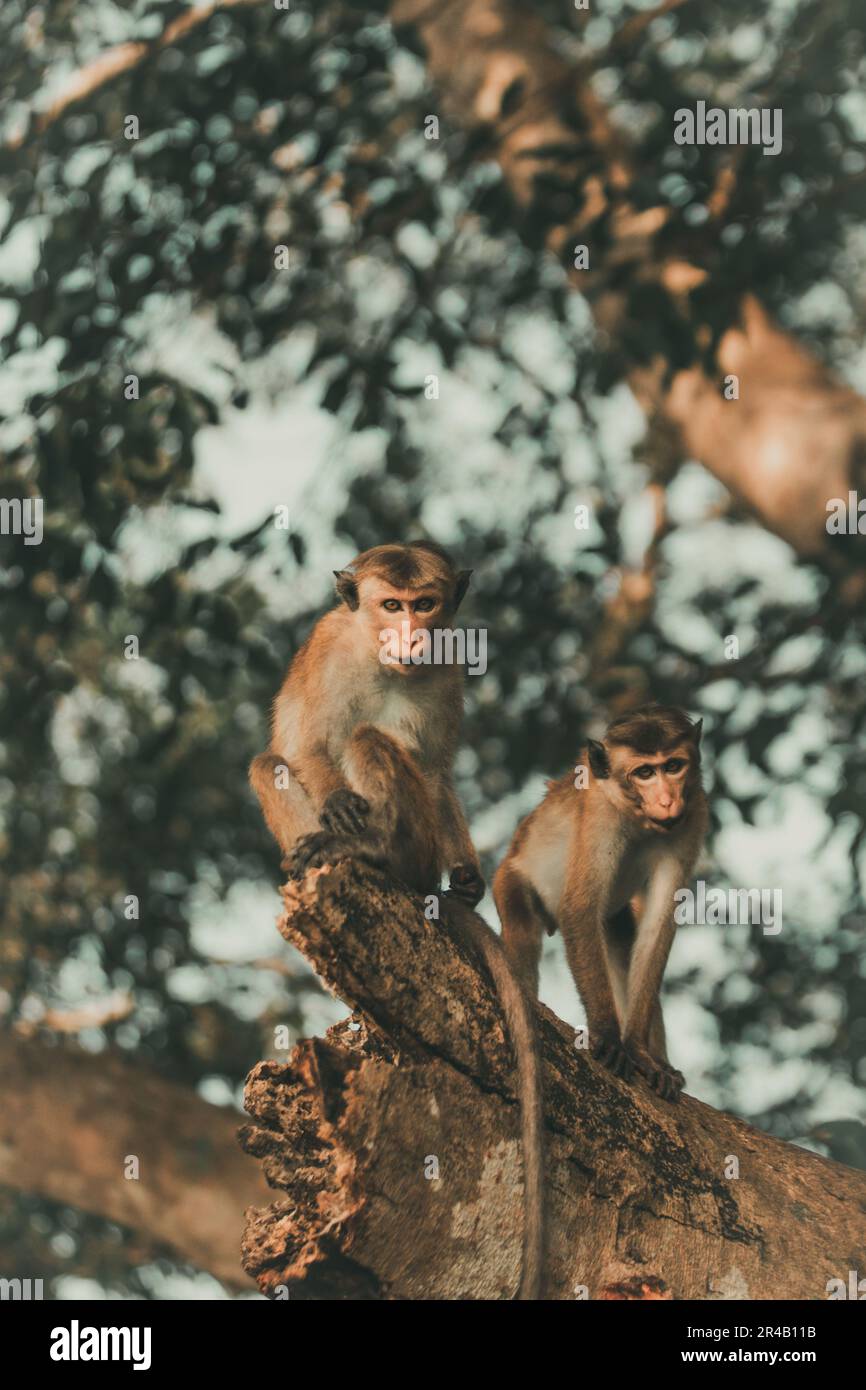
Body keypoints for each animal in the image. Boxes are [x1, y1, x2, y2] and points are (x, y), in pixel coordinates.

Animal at [249, 541, 545, 1300]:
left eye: (425, 605)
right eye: (390, 605)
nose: (410, 635)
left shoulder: (449, 663)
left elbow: (435, 769)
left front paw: (470, 877)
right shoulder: (328, 653)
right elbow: (309, 747)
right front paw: (336, 812)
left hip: (420, 840)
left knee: (380, 747)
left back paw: (394, 862)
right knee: (289, 757)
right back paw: (349, 848)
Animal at [493, 704, 707, 1103]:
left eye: (673, 766)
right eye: (644, 772)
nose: (668, 801)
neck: (637, 816)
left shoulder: (694, 812)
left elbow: (657, 925)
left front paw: (638, 1048)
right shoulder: (599, 814)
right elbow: (580, 908)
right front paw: (608, 1036)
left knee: (624, 949)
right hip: (510, 880)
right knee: (523, 930)